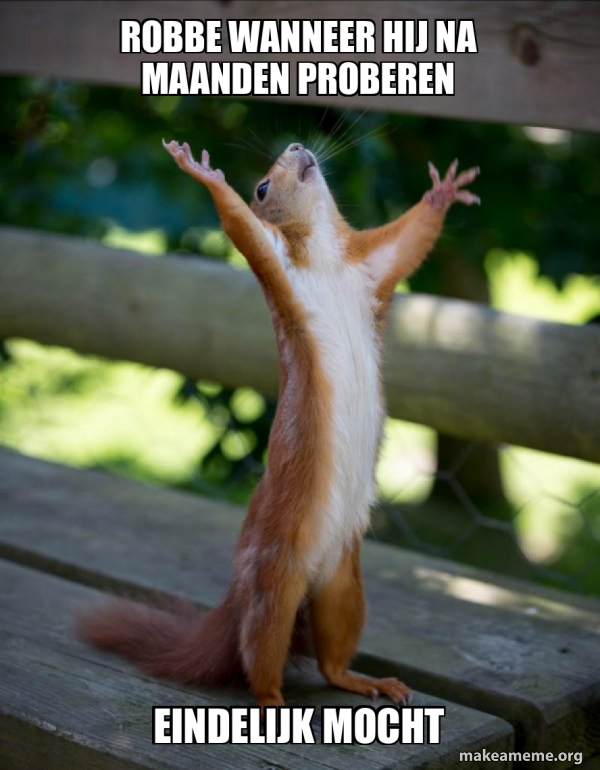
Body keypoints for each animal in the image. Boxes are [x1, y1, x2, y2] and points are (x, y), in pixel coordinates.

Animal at [78, 138, 479, 711]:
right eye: (262, 187)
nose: (296, 146)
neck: (326, 258)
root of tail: (238, 596)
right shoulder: (276, 264)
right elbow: (240, 225)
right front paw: (204, 173)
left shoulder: (372, 267)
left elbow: (410, 240)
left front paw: (442, 192)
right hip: (274, 582)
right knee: (259, 655)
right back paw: (274, 701)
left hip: (344, 586)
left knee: (332, 658)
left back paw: (366, 680)